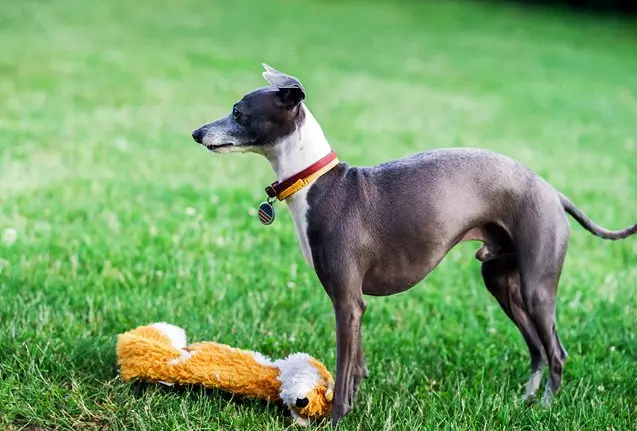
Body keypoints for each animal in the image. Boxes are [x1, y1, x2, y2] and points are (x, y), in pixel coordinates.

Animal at [193, 64, 636, 428]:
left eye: (238, 112)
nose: (196, 133)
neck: (317, 182)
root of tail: (553, 192)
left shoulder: (347, 301)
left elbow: (344, 366)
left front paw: (336, 418)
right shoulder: (354, 303)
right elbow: (356, 367)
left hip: (537, 286)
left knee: (556, 352)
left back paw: (544, 408)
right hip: (501, 281)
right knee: (537, 349)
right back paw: (523, 402)